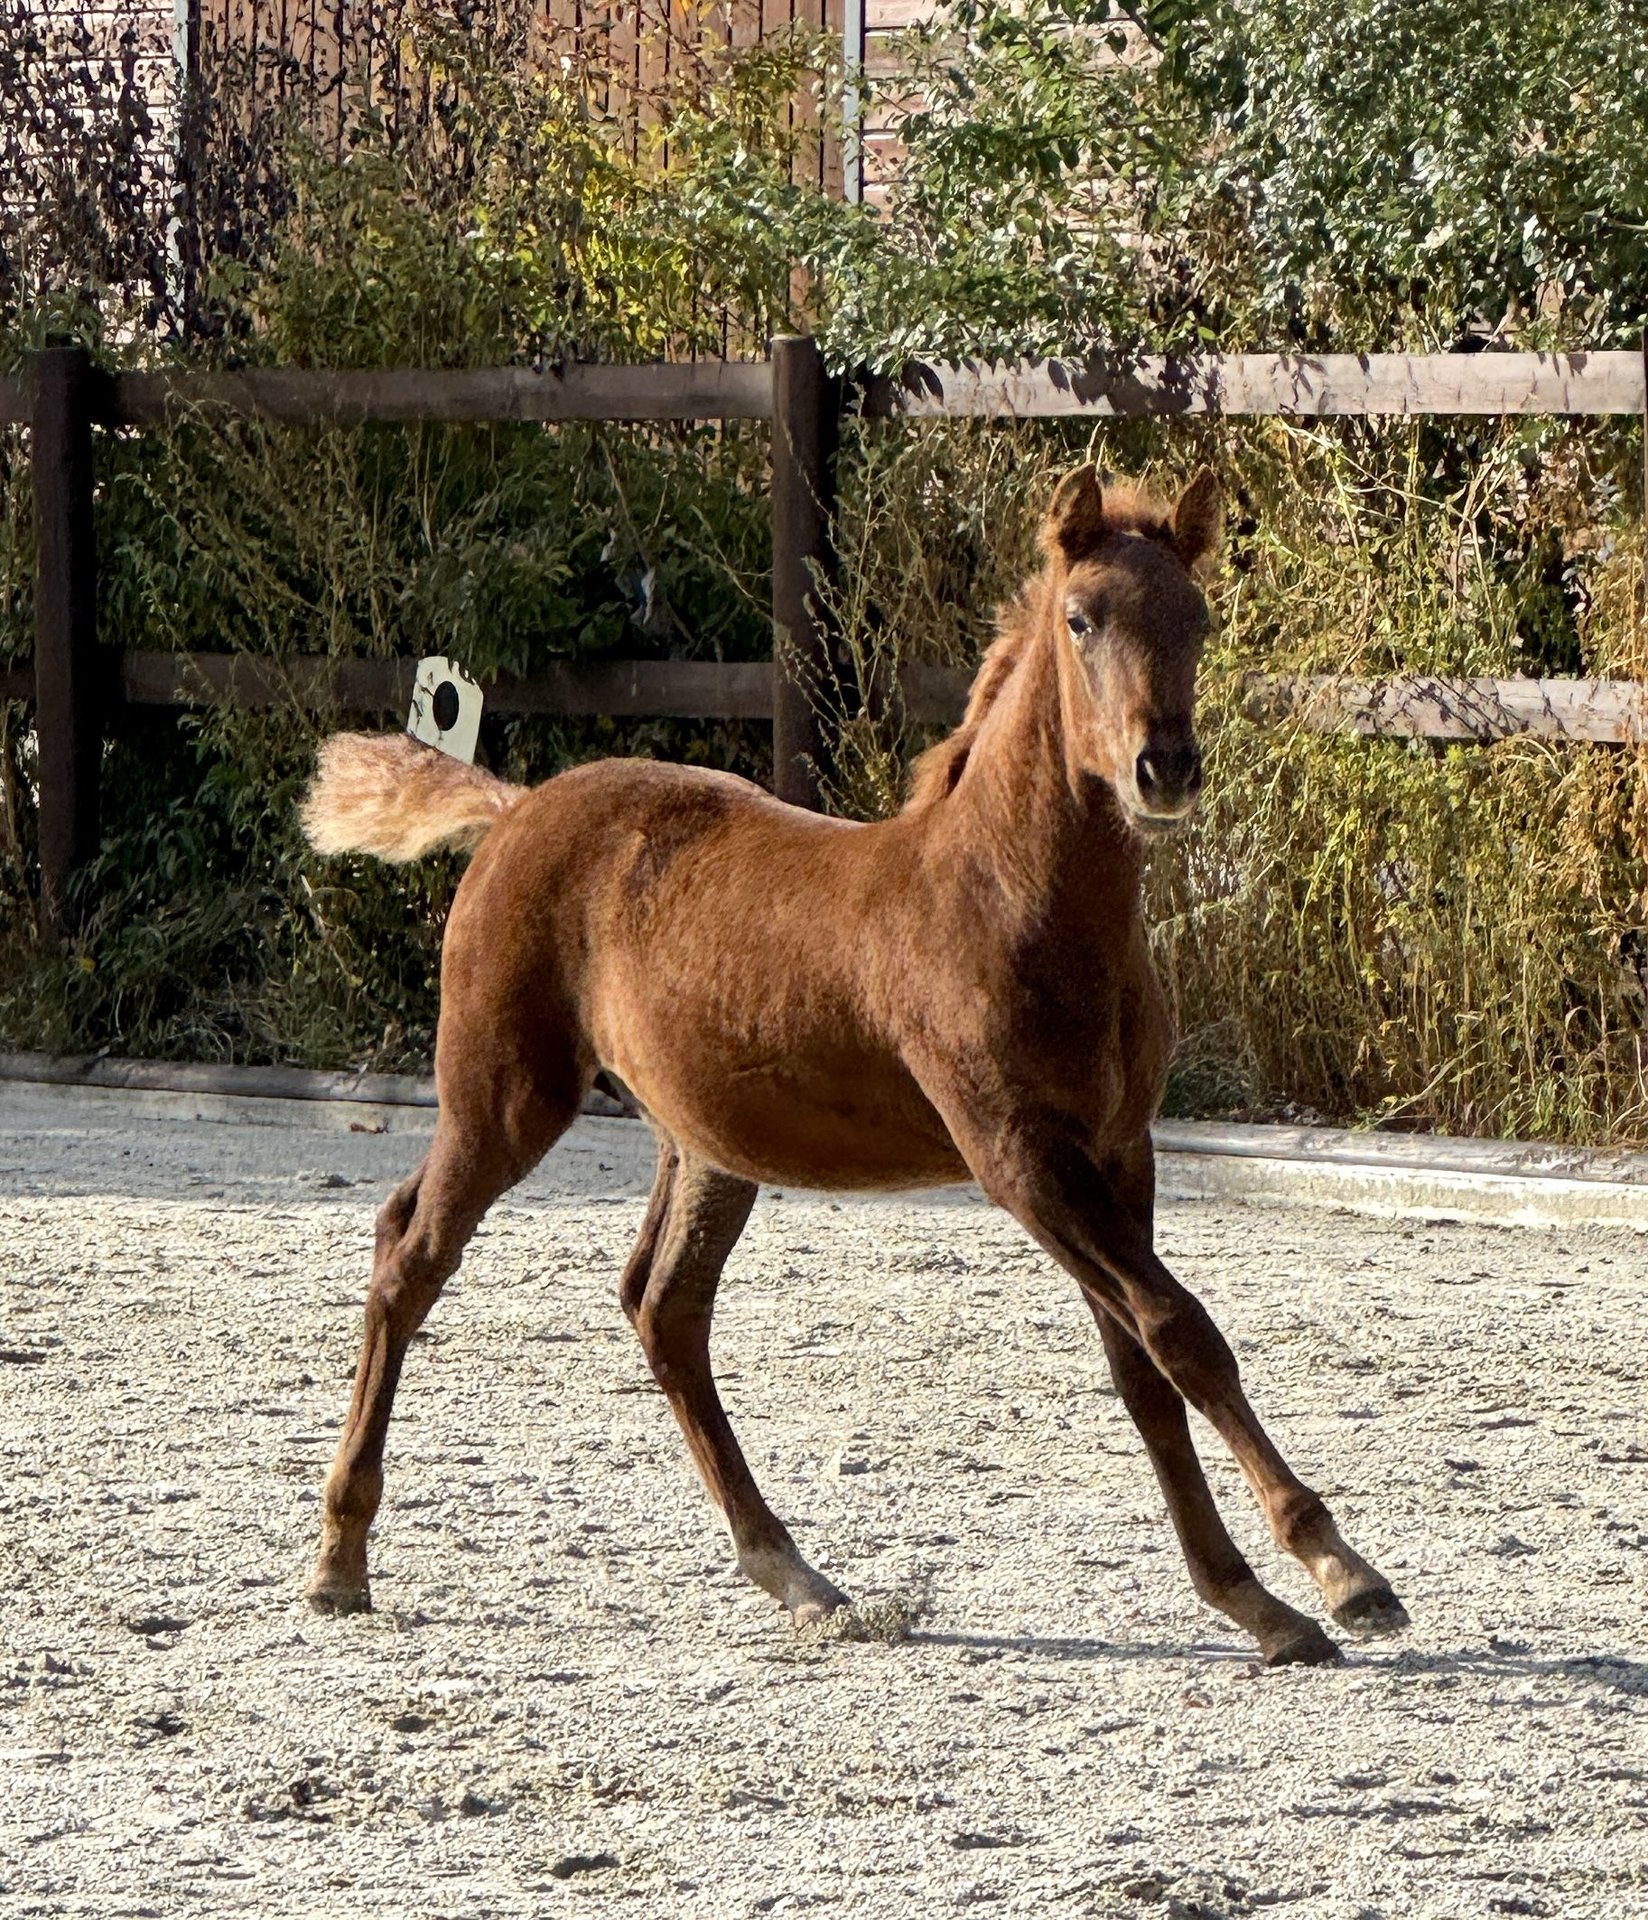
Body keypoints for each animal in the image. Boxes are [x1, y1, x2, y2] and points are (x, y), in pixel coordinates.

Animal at [299, 464, 1408, 1667]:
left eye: (1197, 619)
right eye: (1082, 619)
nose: (1163, 767)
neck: (1010, 904)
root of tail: (515, 809)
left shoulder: (1119, 1151)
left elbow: (1142, 1368)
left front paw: (1253, 1600)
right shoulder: (1018, 1157)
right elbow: (1180, 1334)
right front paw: (1341, 1574)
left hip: (706, 1143)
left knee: (659, 1306)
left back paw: (792, 1571)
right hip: (505, 1095)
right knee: (412, 1258)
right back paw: (338, 1559)